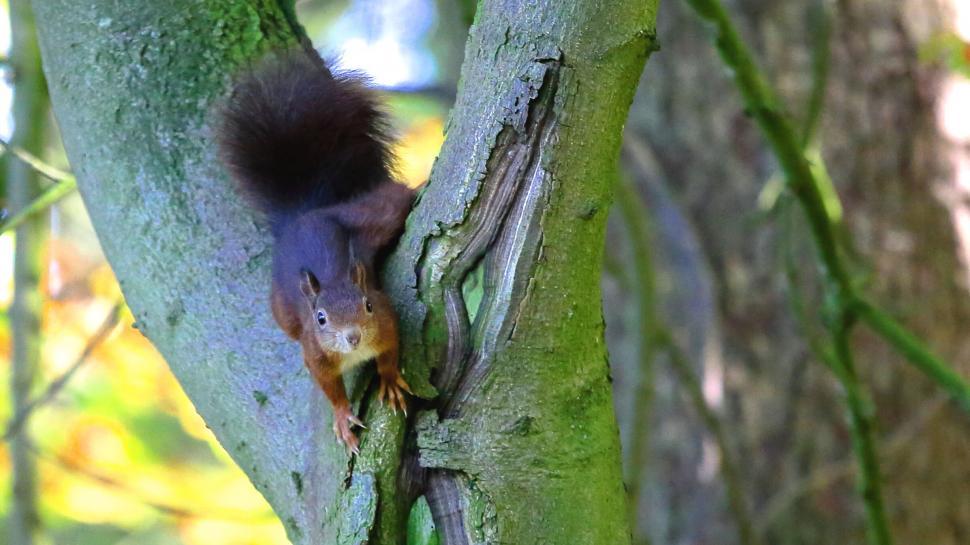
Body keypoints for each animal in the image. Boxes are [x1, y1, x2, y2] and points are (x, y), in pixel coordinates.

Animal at [217, 51, 415, 454]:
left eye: (367, 305)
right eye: (321, 318)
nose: (352, 337)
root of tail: (304, 214)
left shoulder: (387, 322)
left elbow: (390, 354)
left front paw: (388, 380)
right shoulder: (315, 352)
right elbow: (330, 389)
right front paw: (341, 417)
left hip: (376, 215)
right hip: (282, 310)